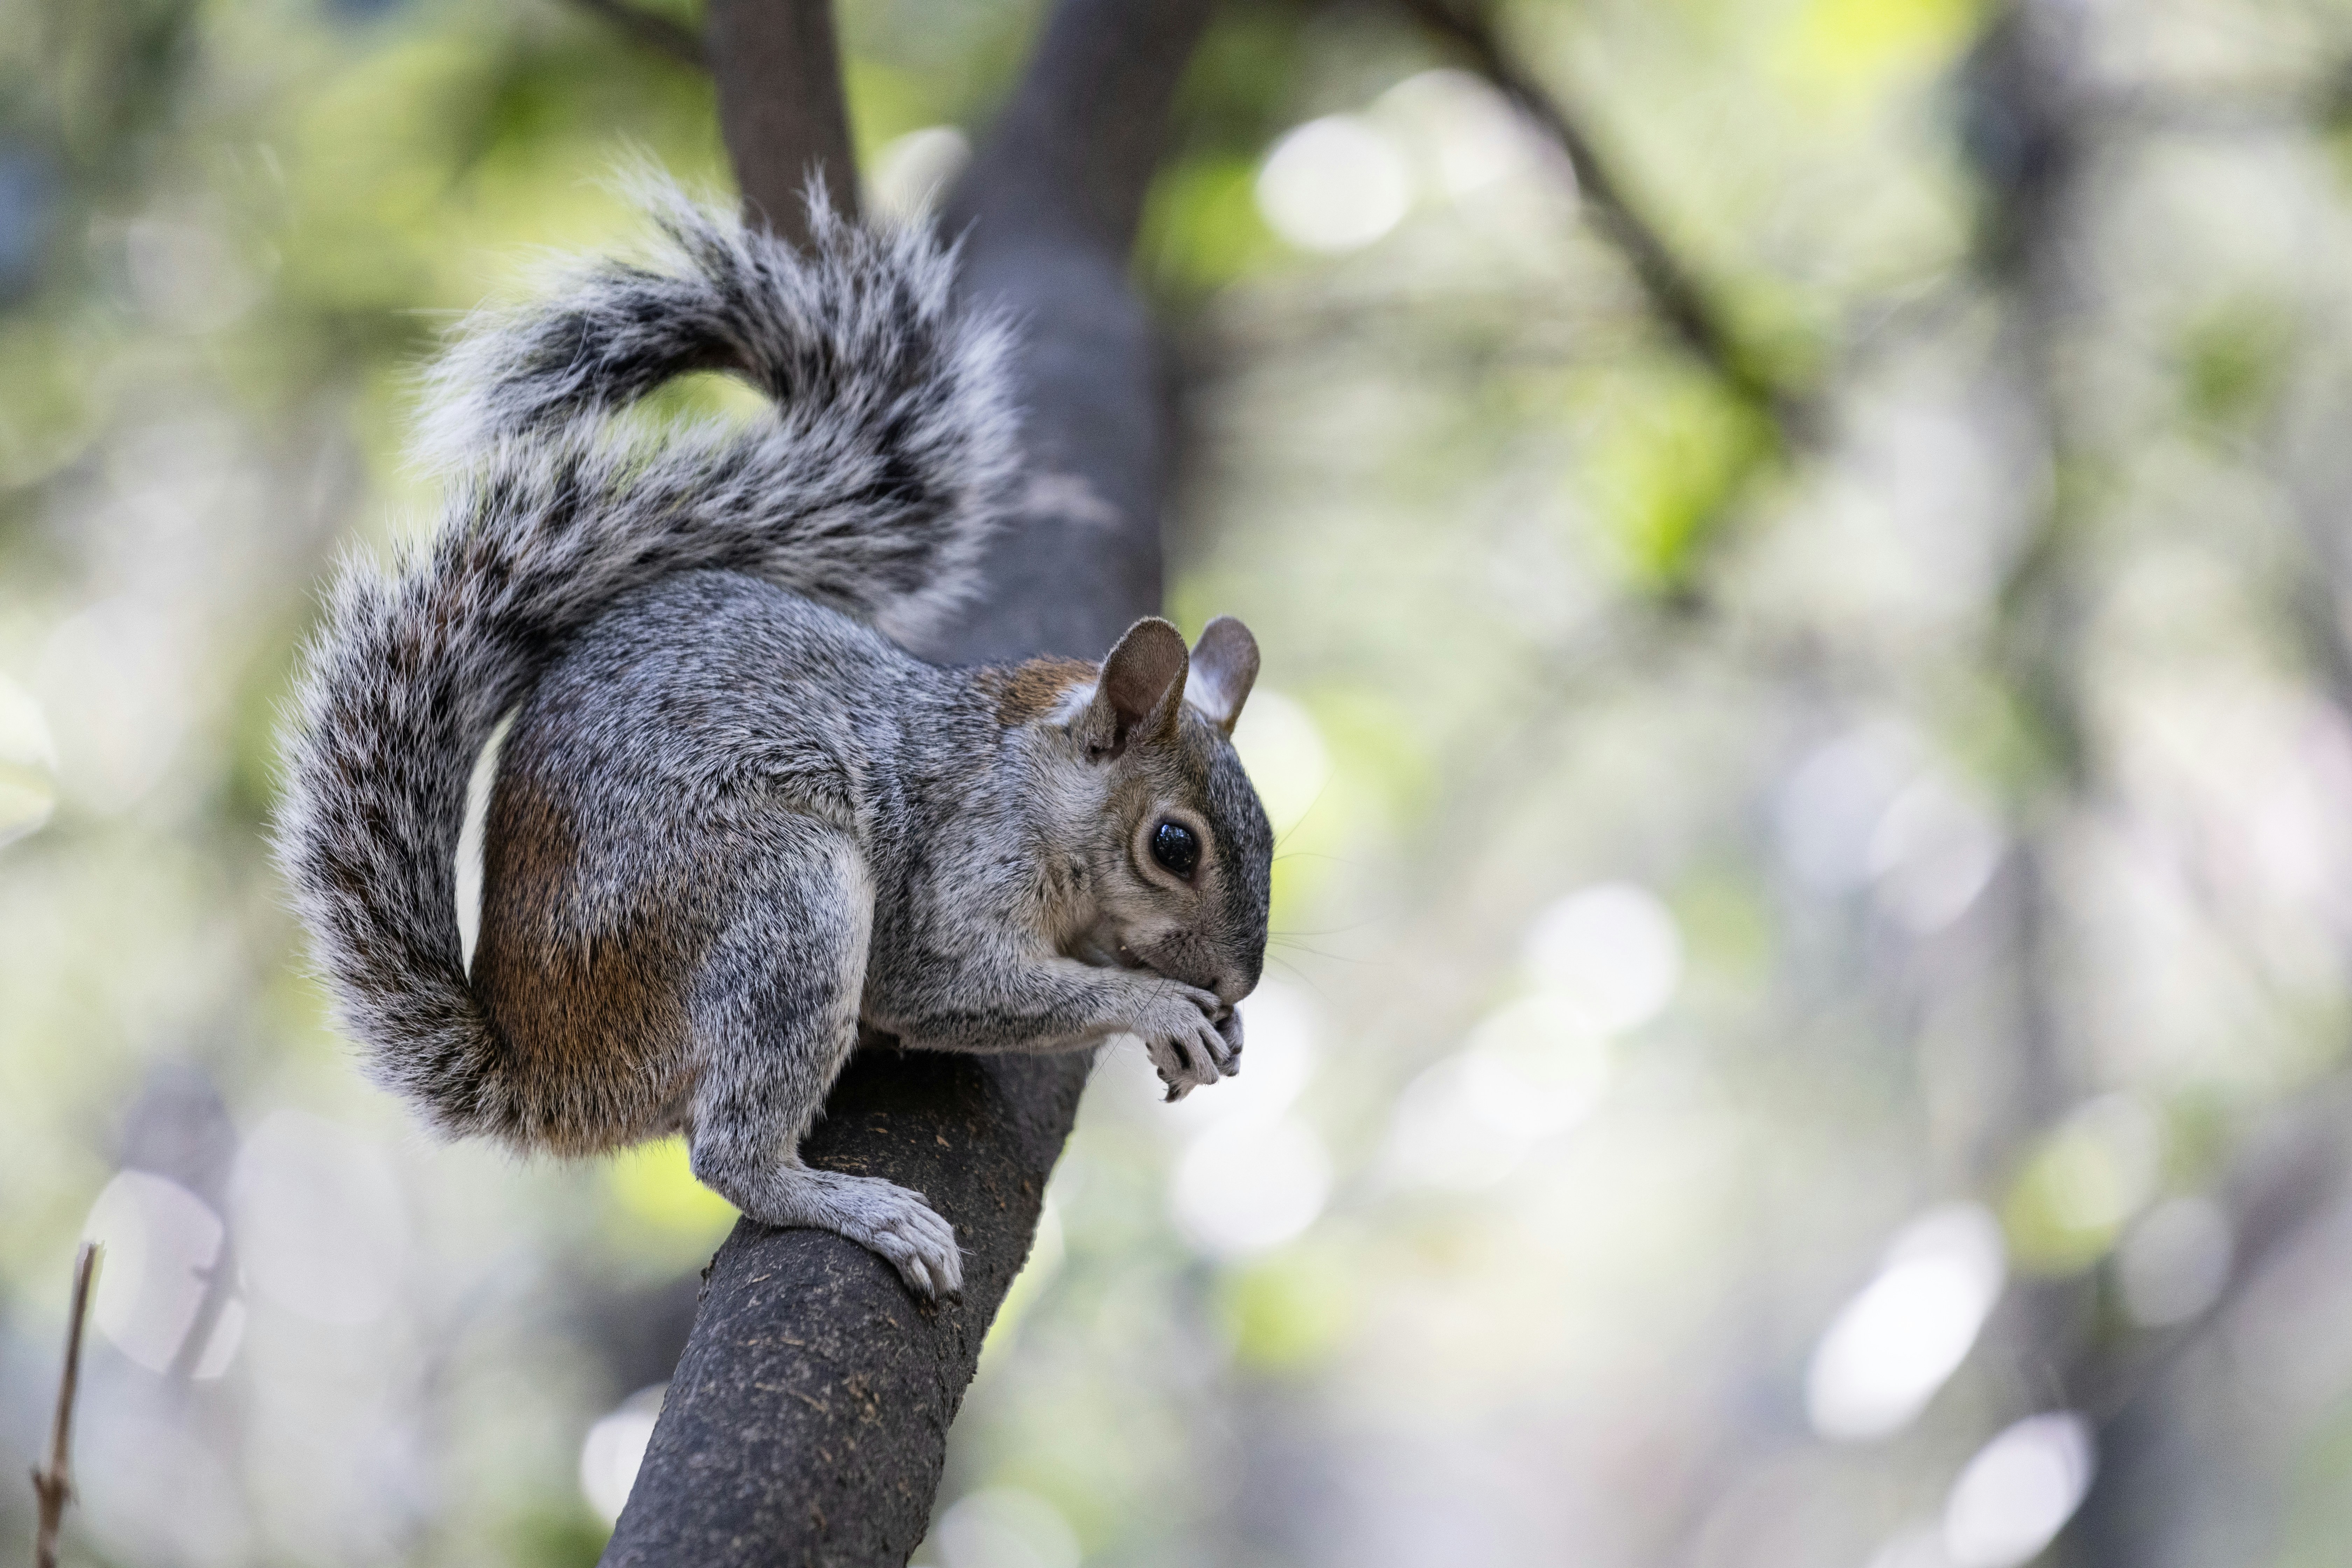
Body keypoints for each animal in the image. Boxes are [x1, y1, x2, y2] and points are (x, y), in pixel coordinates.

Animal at [273, 186, 1273, 1300]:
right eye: (1174, 846)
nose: (1239, 985)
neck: (1032, 779)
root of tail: (550, 1067)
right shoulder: (961, 869)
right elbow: (948, 987)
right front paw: (1157, 1008)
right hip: (783, 899)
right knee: (731, 1153)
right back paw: (856, 1207)